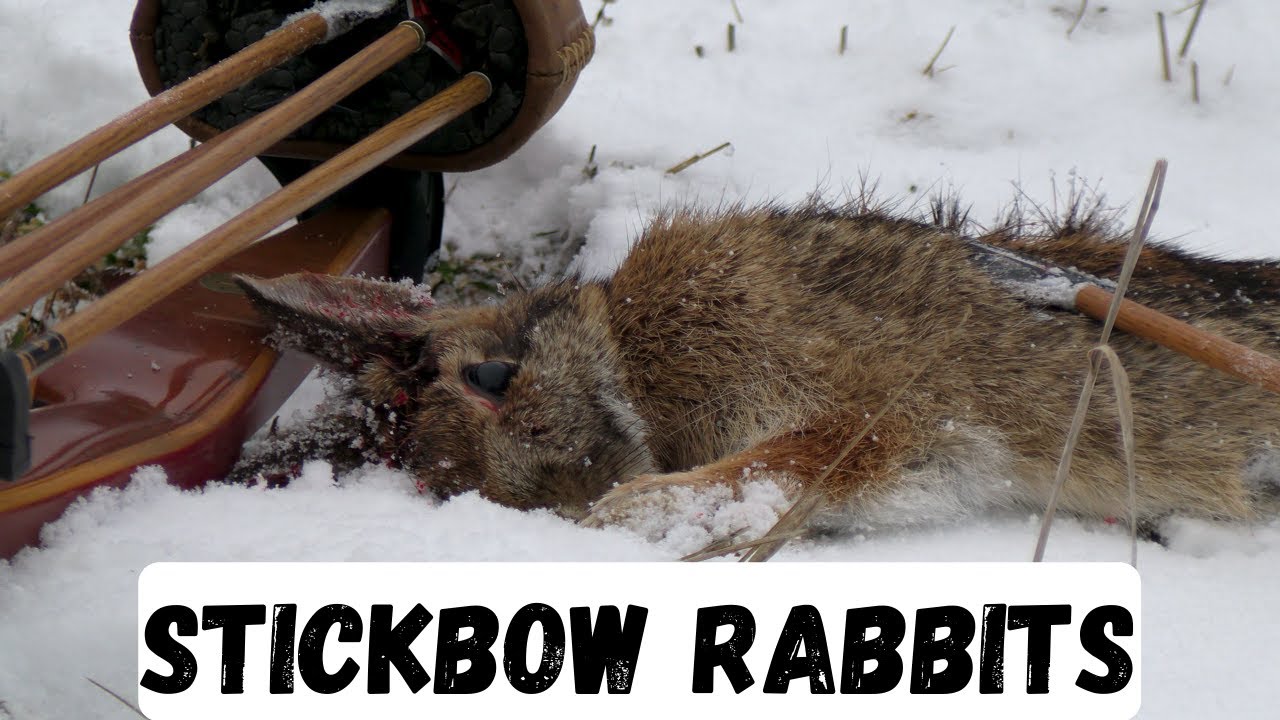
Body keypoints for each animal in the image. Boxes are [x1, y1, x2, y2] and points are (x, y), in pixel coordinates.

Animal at [232, 200, 1280, 536]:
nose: (576, 492)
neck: (627, 347)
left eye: (491, 378)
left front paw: (629, 515)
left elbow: (786, 463)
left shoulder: (887, 414)